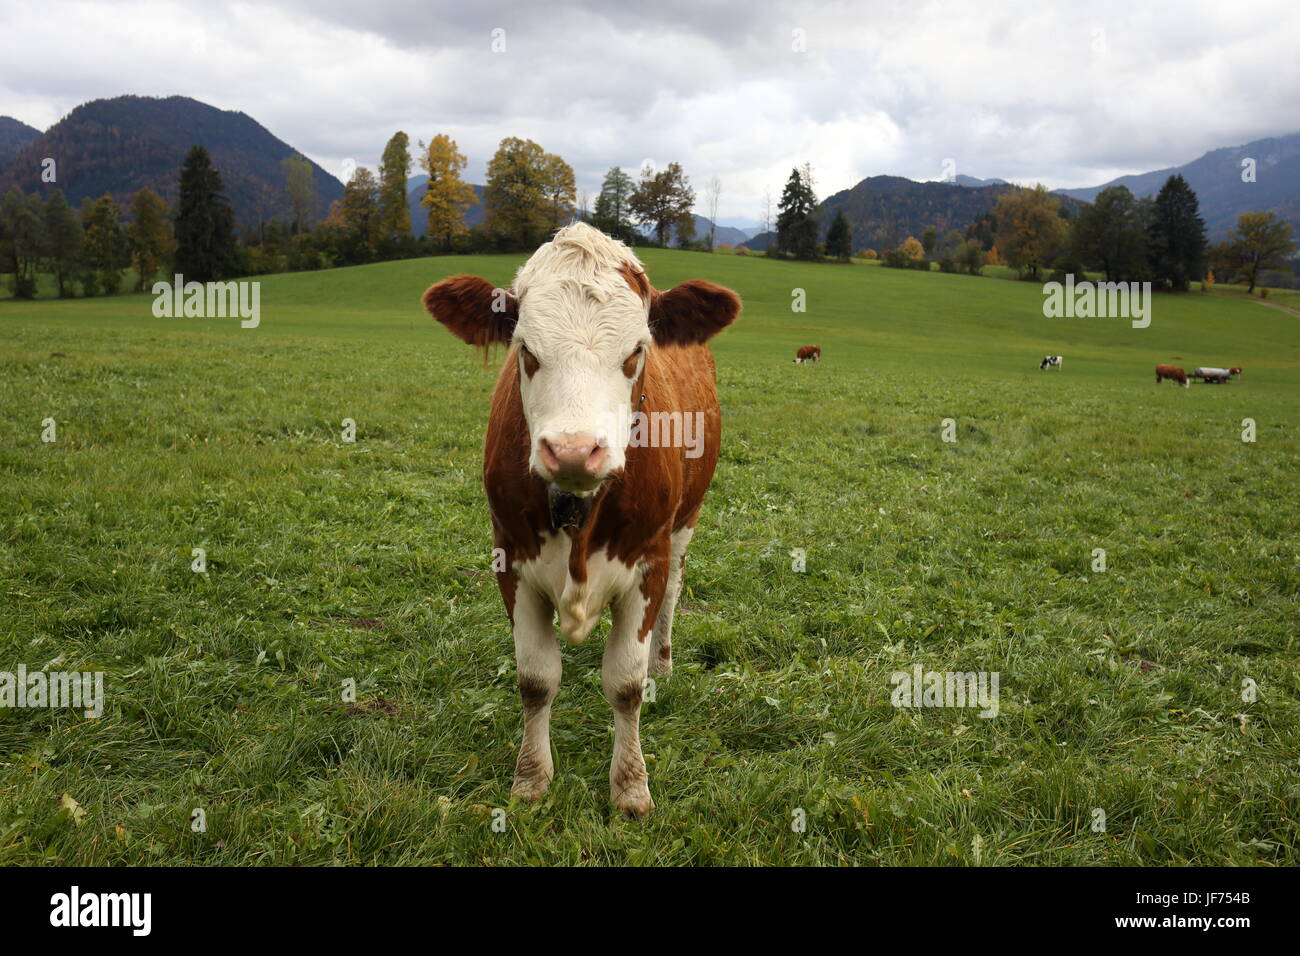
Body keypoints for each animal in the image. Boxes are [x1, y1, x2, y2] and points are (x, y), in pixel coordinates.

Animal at [422, 222, 740, 818]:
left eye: (637, 351)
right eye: (525, 349)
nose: (573, 451)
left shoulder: (647, 558)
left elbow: (625, 684)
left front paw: (631, 788)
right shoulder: (510, 557)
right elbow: (536, 679)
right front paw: (531, 778)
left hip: (686, 521)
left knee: (675, 590)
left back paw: (663, 662)